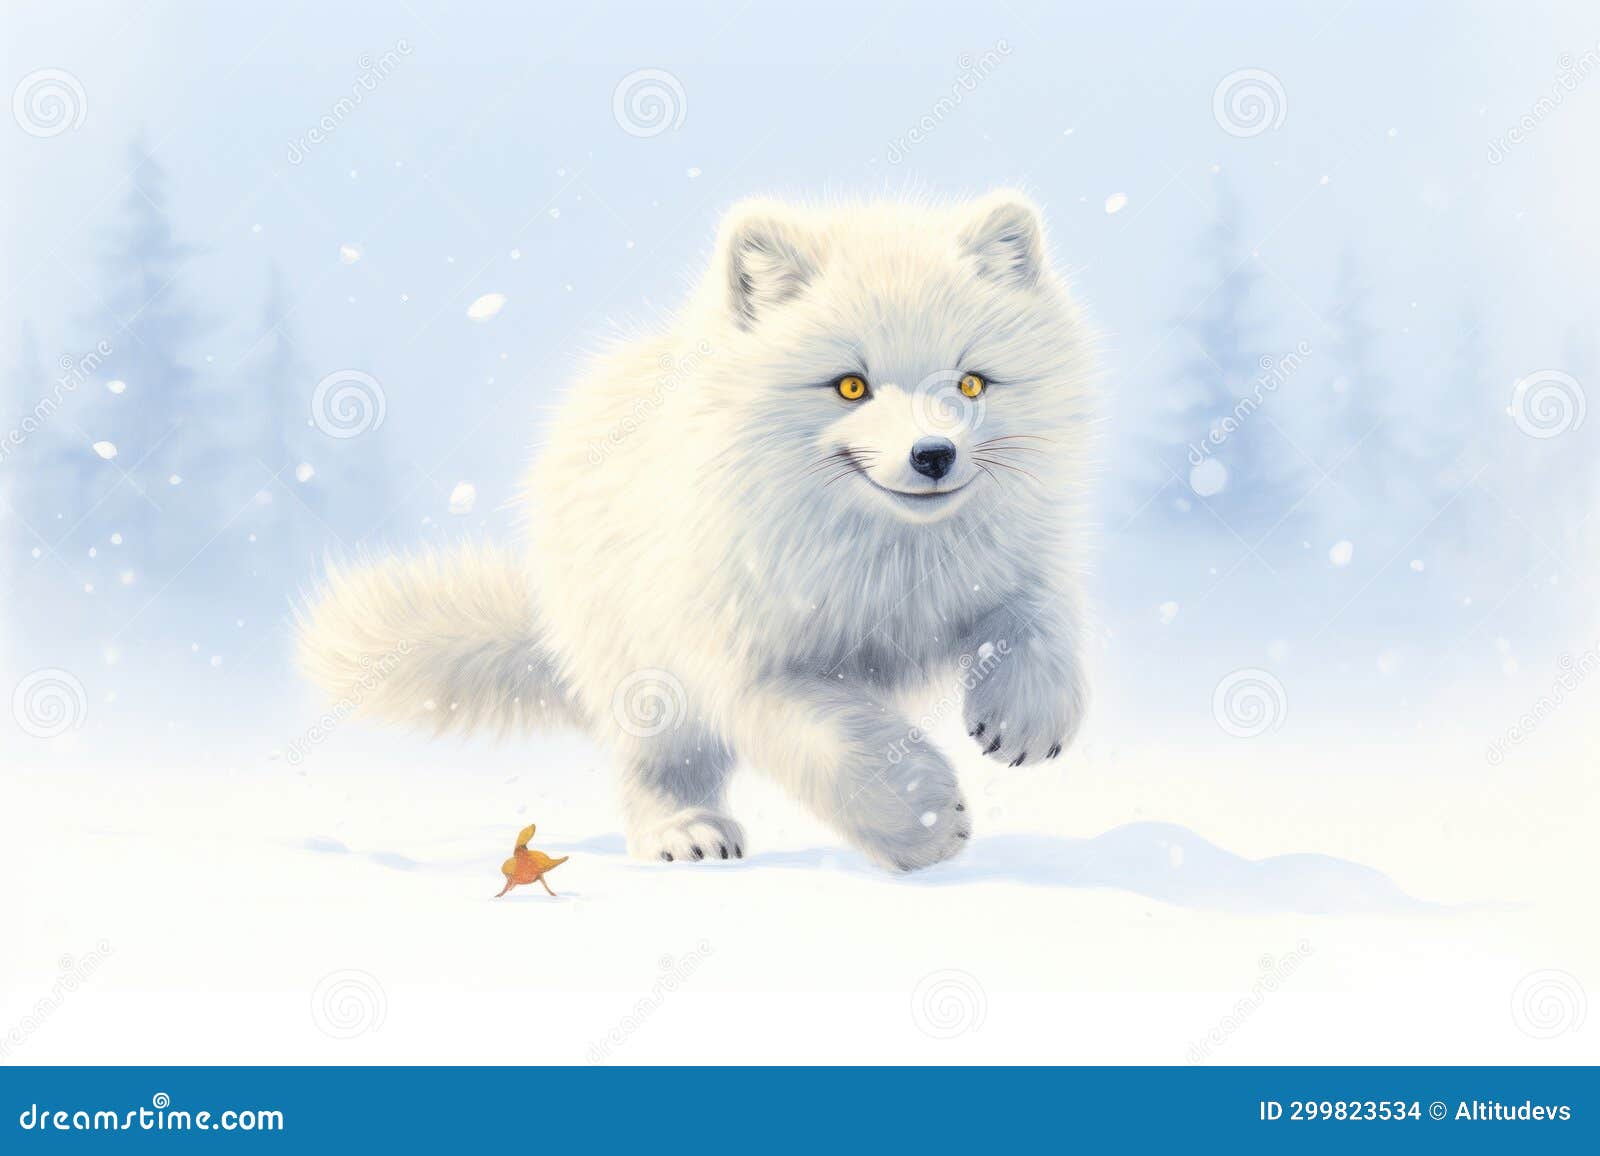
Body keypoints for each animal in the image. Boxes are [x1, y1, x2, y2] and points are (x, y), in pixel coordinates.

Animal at [298, 190, 1095, 872]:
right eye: (851, 386)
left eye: (970, 383)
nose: (934, 455)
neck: (890, 566)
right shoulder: (748, 661)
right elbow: (837, 744)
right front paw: (923, 821)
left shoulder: (1021, 560)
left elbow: (1038, 617)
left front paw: (1023, 720)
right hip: (645, 677)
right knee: (656, 766)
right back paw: (685, 833)